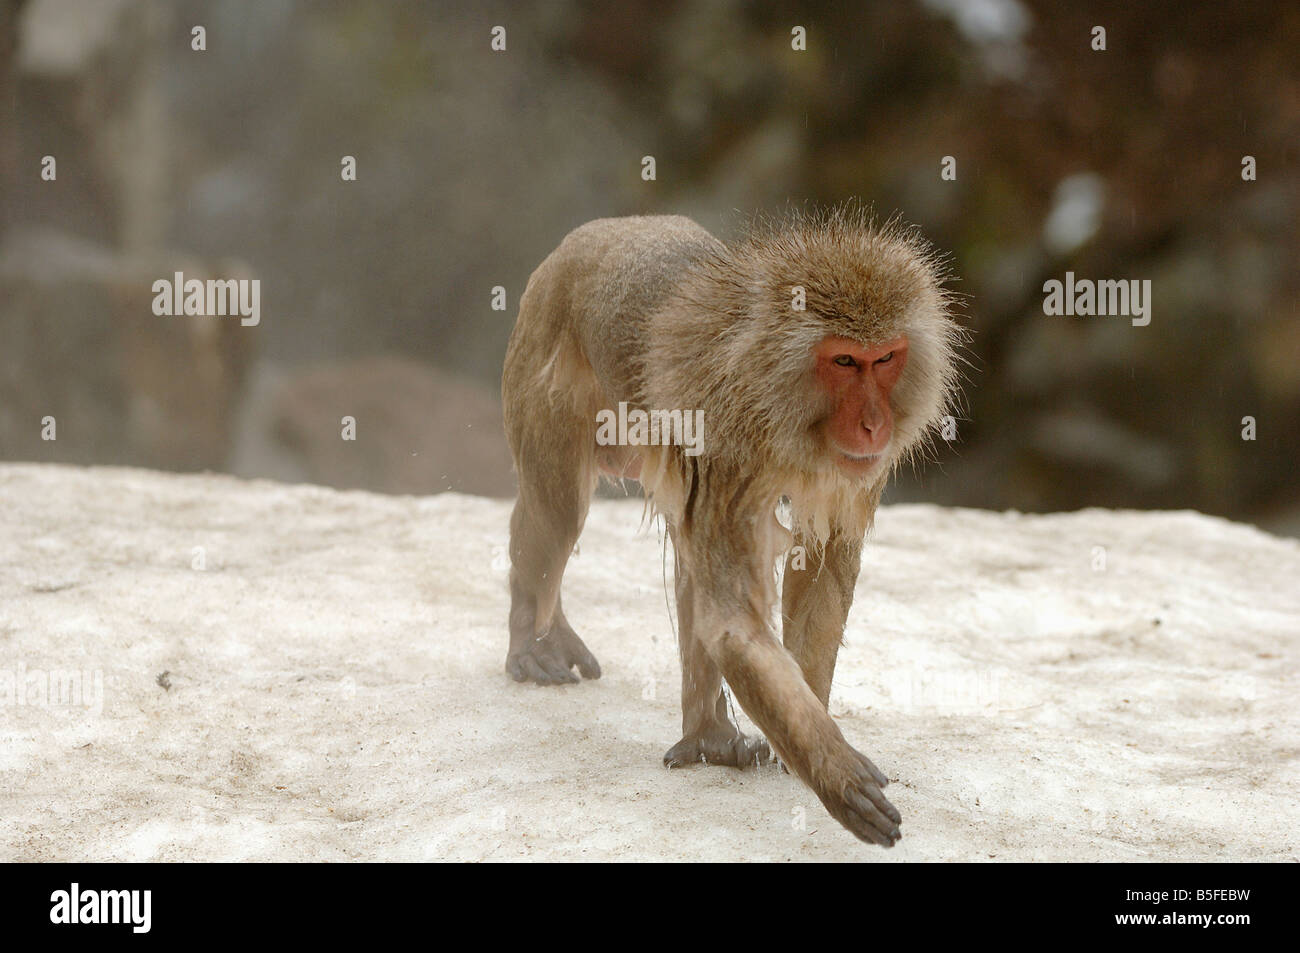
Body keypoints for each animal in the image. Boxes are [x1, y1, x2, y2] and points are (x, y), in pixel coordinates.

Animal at [501, 208, 963, 847]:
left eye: (886, 358)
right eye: (845, 362)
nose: (875, 424)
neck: (776, 402)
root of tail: (599, 231)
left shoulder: (855, 470)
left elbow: (821, 572)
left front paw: (803, 741)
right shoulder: (725, 446)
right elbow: (733, 625)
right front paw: (832, 768)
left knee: (684, 554)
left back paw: (707, 739)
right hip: (543, 365)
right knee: (556, 513)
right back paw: (531, 635)